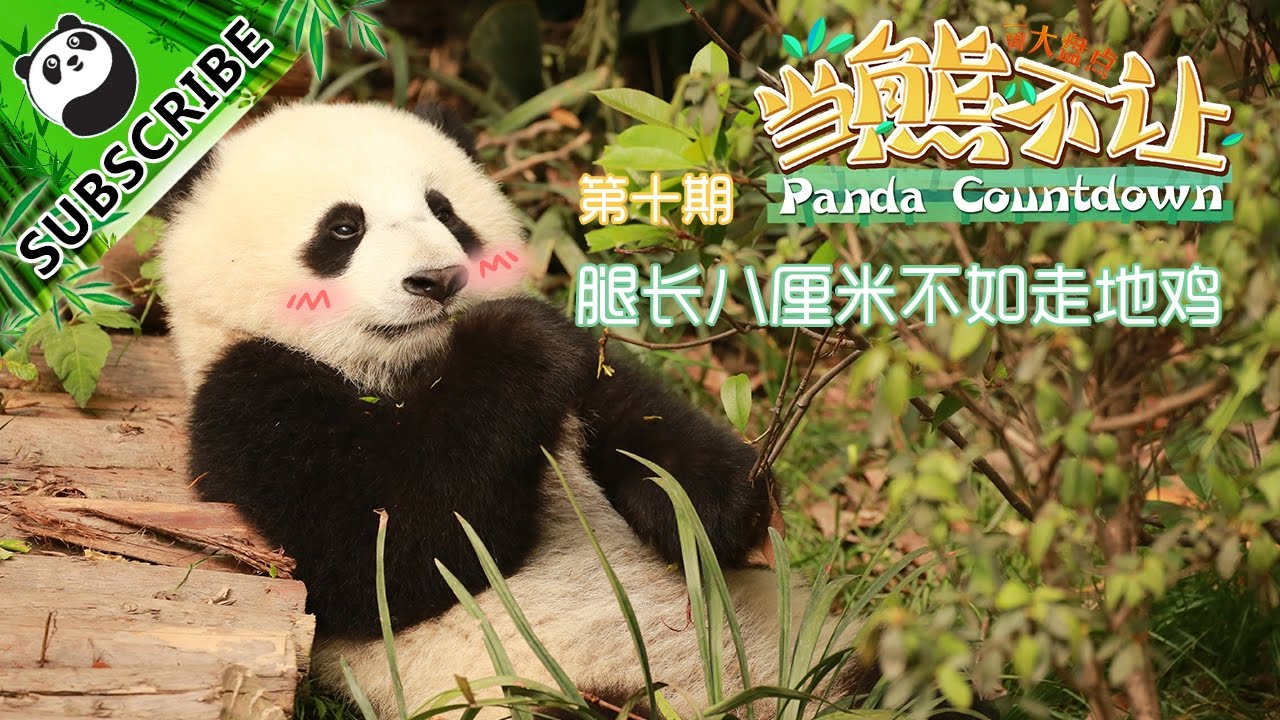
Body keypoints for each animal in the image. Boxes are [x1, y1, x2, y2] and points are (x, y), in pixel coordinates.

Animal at [159, 102, 989, 720]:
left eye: (444, 211)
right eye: (343, 227)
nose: (440, 281)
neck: (415, 368)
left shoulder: (587, 391)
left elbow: (640, 419)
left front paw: (703, 511)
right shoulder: (247, 402)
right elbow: (391, 548)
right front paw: (514, 339)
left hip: (821, 645)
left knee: (912, 677)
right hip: (557, 688)